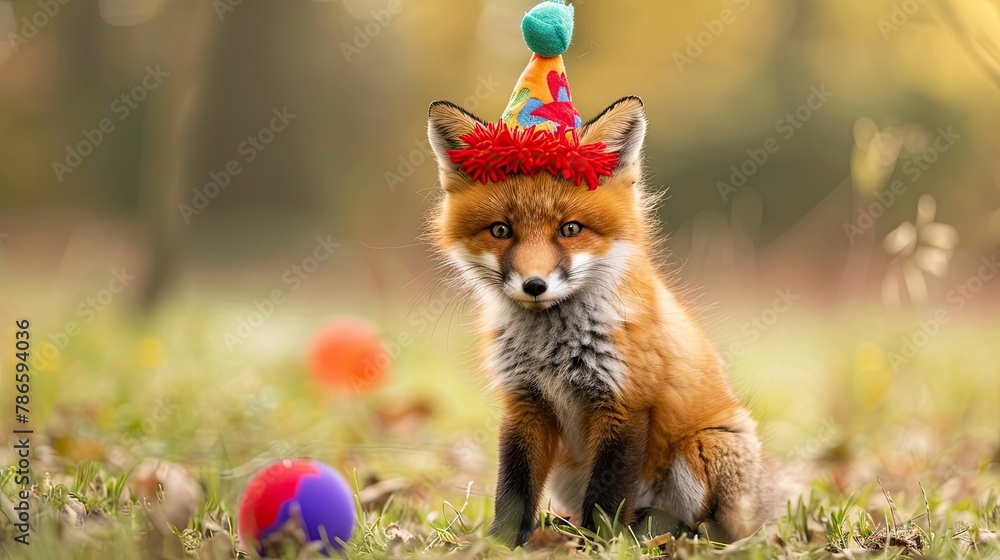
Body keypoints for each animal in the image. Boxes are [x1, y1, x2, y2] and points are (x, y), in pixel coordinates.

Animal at [426, 96, 779, 547]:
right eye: (501, 230)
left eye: (570, 229)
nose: (534, 285)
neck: (550, 349)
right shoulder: (524, 402)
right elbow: (514, 486)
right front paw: (500, 542)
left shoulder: (624, 402)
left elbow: (608, 492)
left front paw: (599, 543)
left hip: (705, 448)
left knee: (702, 528)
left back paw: (663, 535)